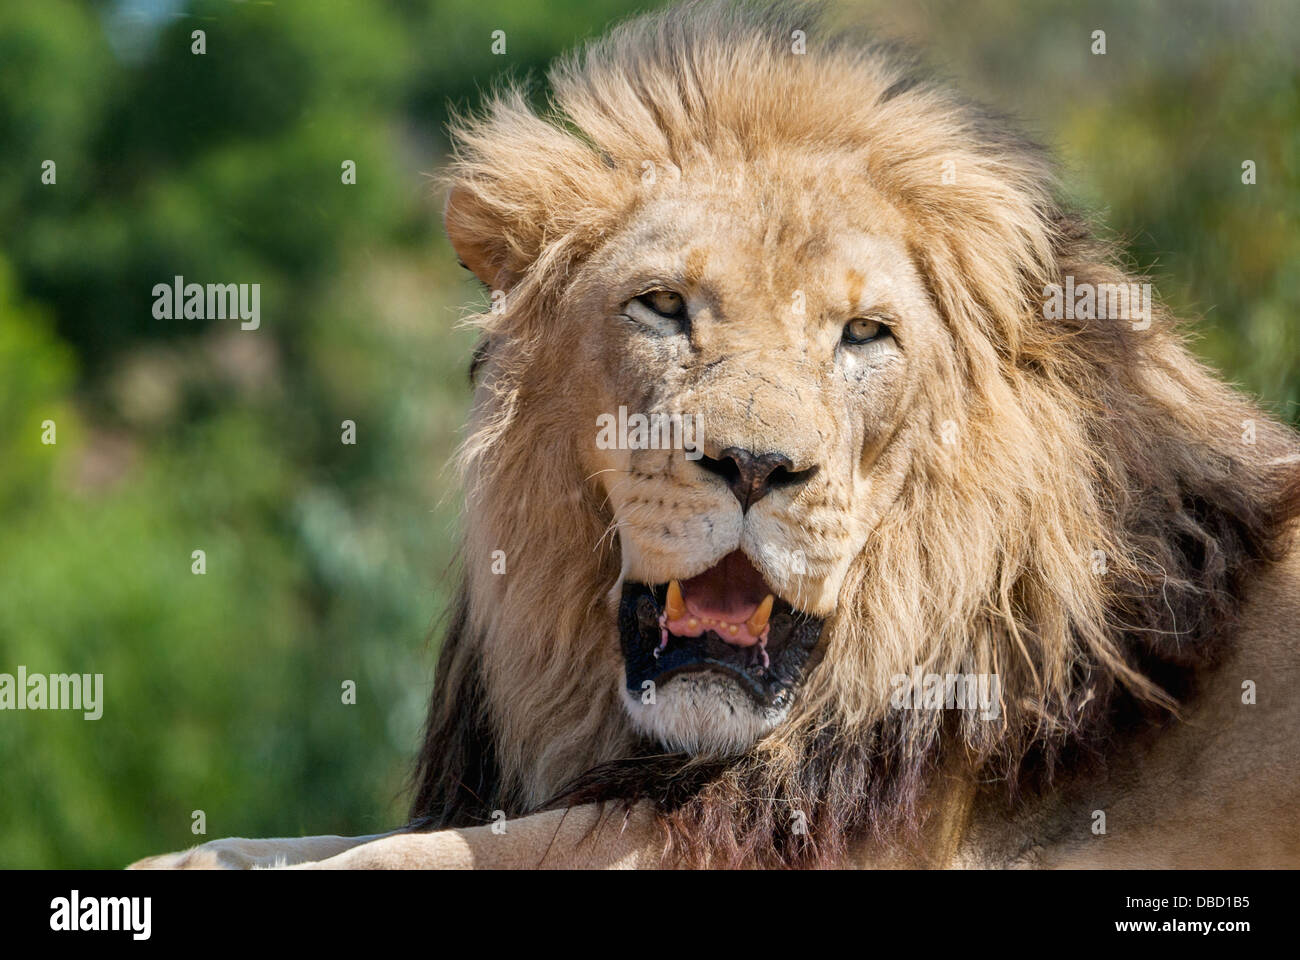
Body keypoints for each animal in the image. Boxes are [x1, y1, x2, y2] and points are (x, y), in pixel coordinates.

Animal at [133, 0, 1300, 870]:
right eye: (662, 307)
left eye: (864, 334)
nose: (753, 467)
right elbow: (307, 841)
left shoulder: (806, 828)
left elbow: (408, 854)